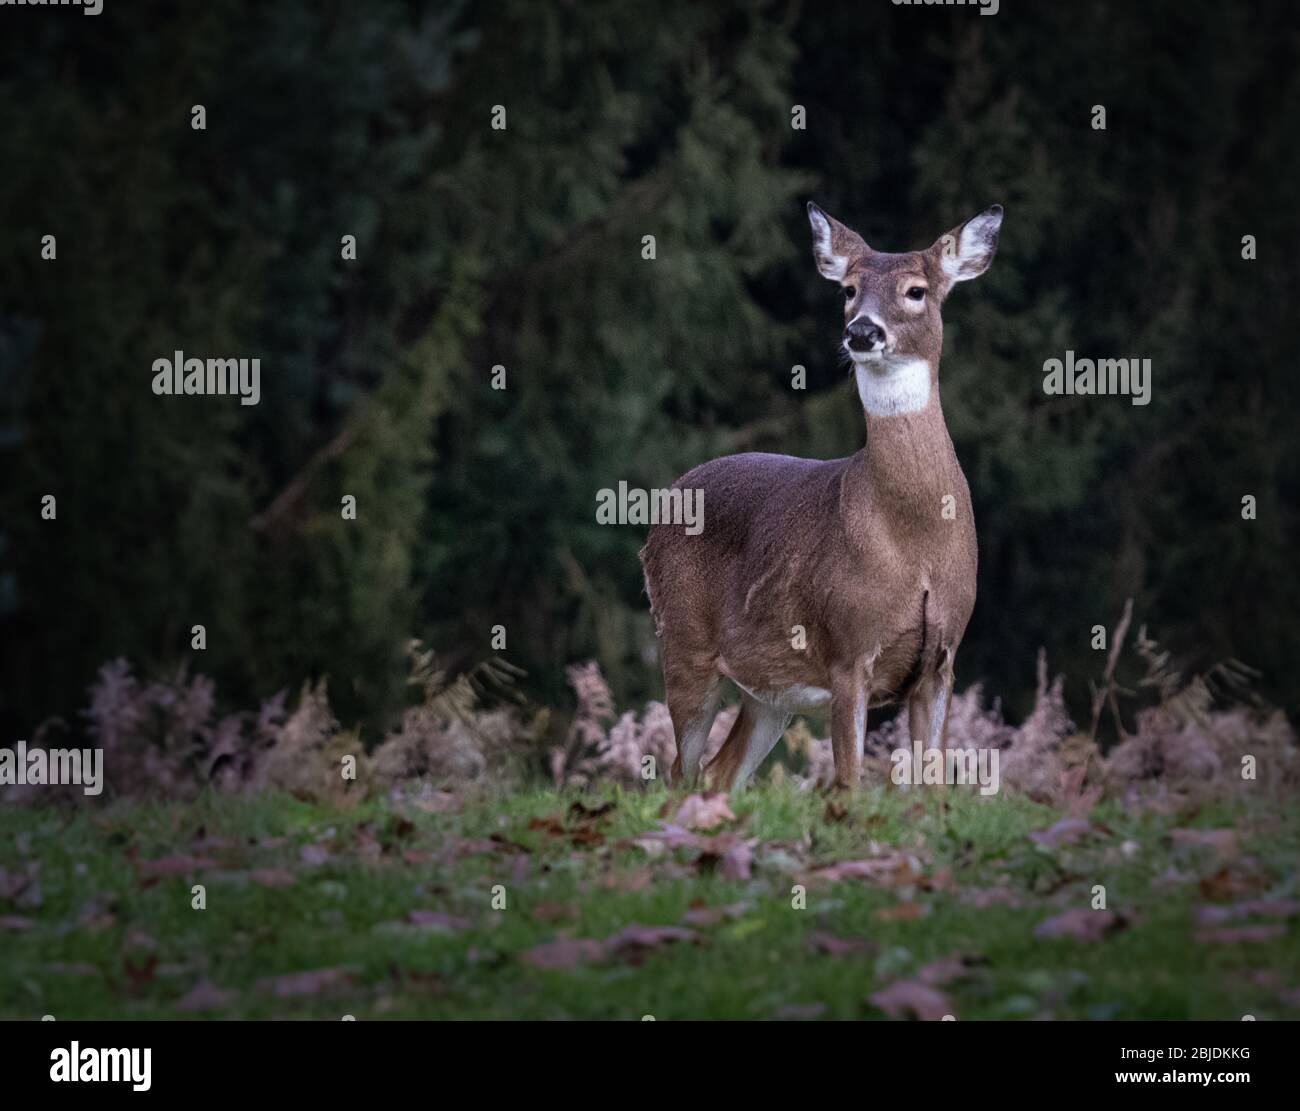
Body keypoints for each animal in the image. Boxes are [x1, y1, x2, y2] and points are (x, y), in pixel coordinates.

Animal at [639, 200, 1002, 790]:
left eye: (917, 290)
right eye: (849, 289)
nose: (862, 331)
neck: (914, 541)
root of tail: (668, 496)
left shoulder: (942, 659)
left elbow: (931, 787)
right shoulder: (847, 651)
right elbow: (850, 781)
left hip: (770, 690)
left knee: (721, 771)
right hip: (683, 642)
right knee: (679, 771)